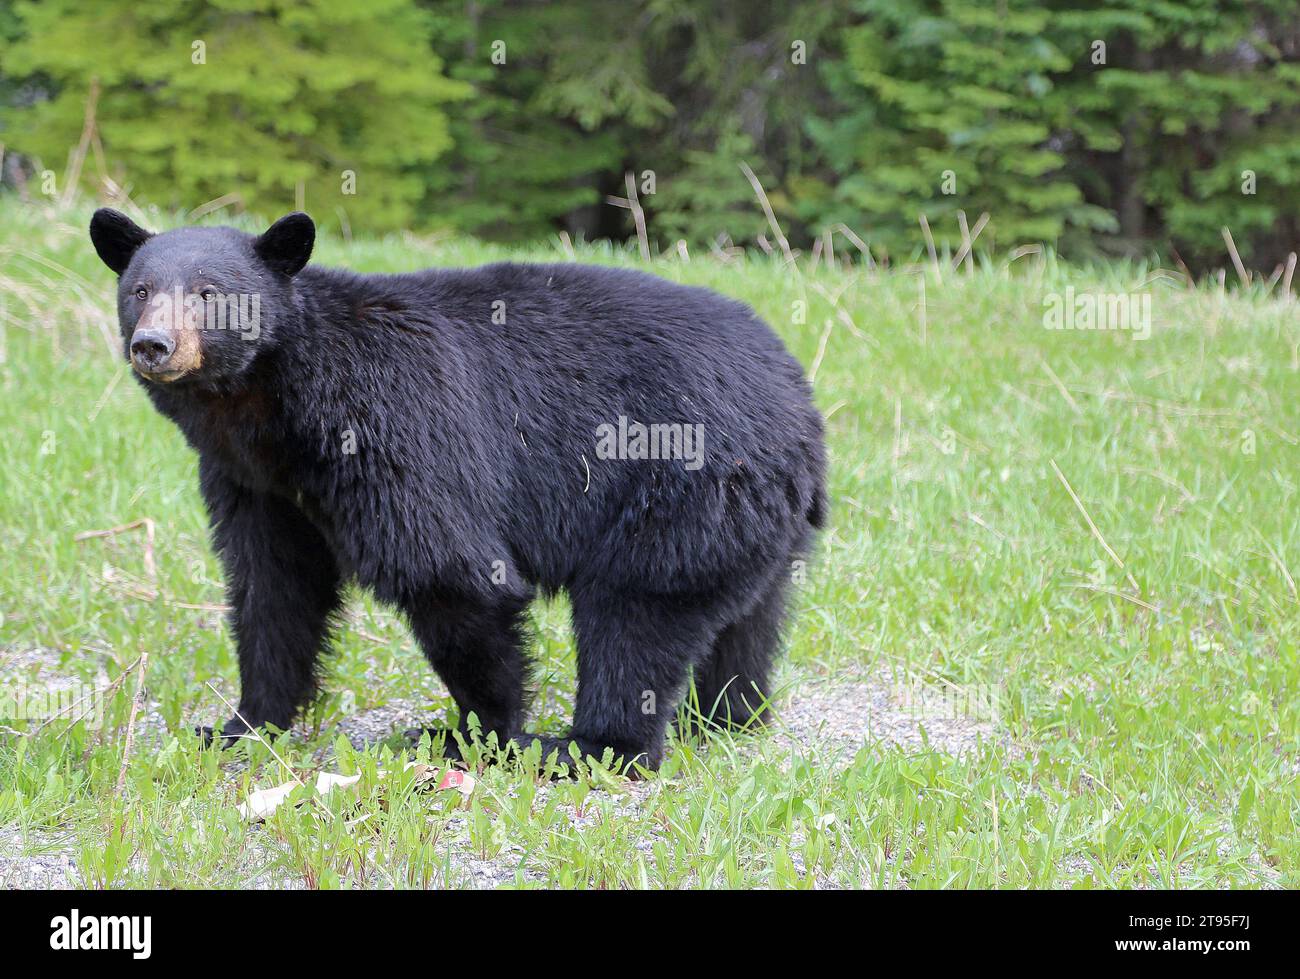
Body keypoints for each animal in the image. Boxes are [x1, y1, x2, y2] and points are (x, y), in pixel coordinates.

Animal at [89, 208, 826, 772]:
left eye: (210, 292)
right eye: (141, 289)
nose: (154, 345)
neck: (268, 410)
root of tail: (800, 402)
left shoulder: (395, 422)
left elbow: (449, 569)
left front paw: (472, 733)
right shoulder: (256, 484)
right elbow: (273, 587)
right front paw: (240, 724)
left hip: (680, 483)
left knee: (637, 611)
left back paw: (587, 747)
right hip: (751, 514)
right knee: (747, 620)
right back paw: (727, 717)